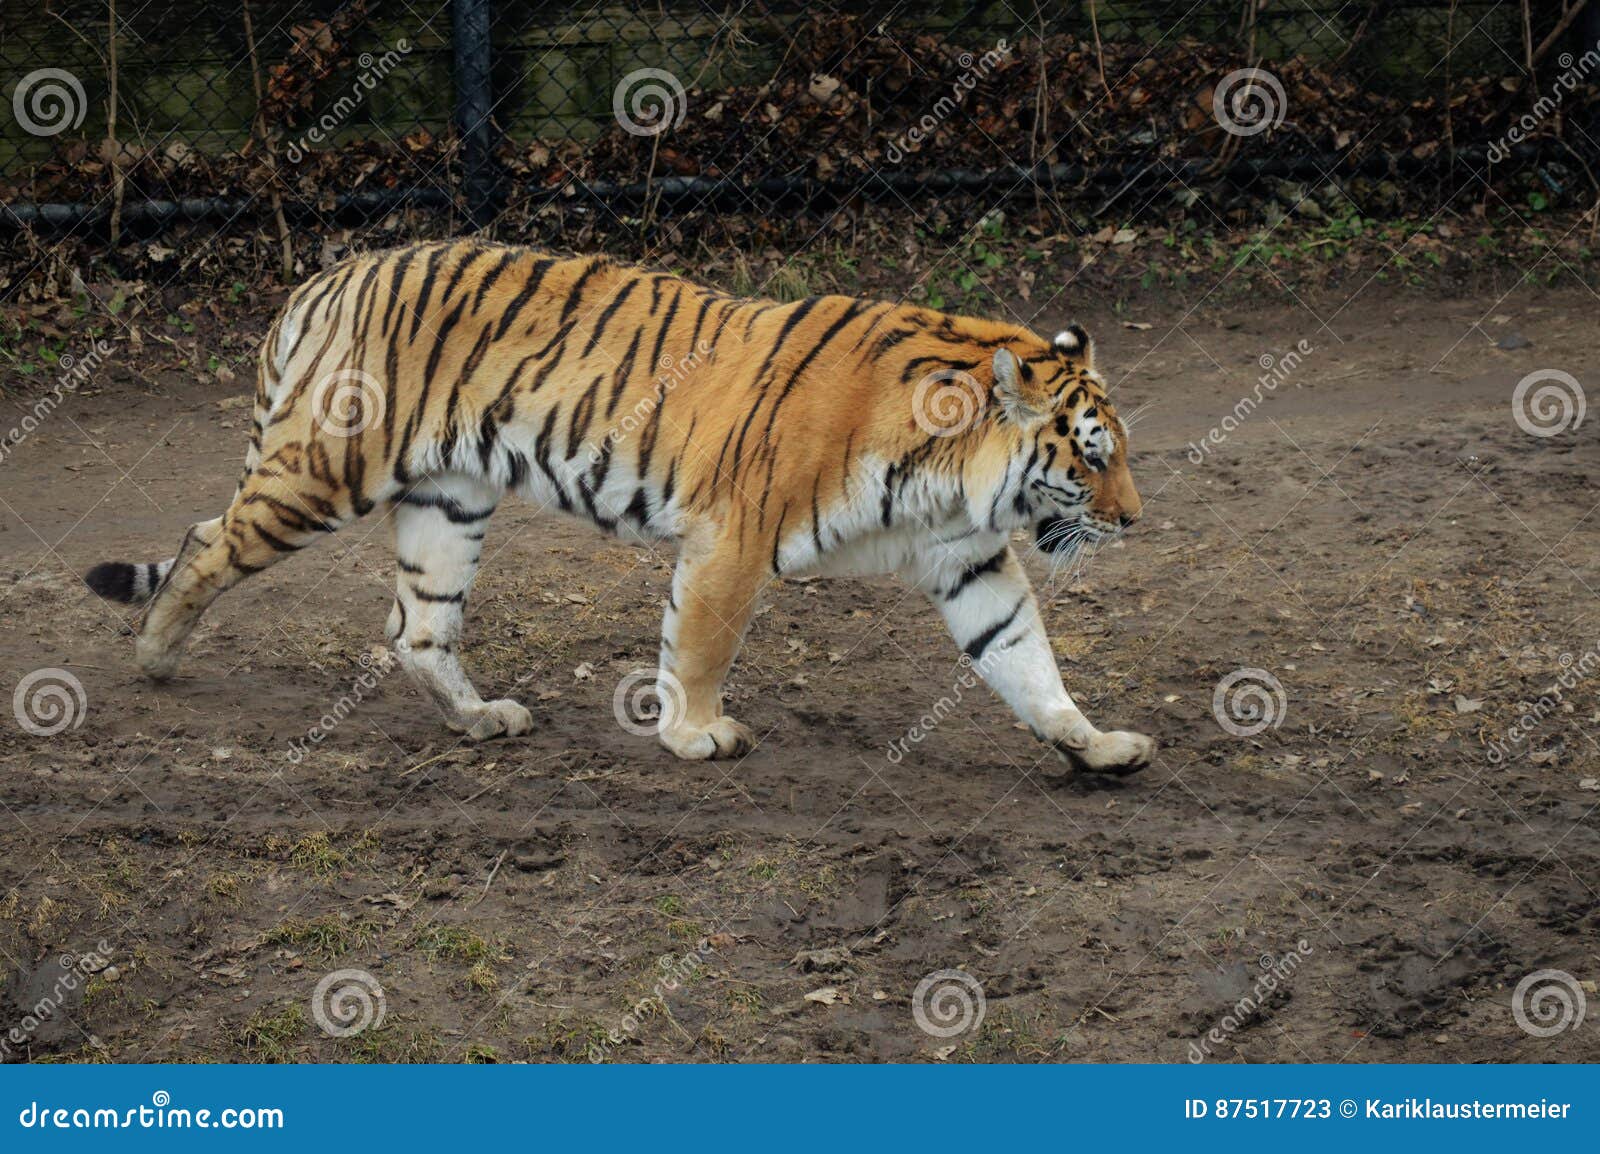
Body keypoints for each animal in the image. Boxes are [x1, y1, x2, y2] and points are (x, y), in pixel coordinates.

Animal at [85, 239, 1154, 773]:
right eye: (1092, 457)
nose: (1135, 519)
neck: (946, 467)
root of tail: (323, 279)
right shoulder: (735, 535)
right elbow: (701, 646)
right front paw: (695, 736)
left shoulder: (967, 556)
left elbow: (1024, 657)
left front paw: (1096, 745)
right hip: (325, 471)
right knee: (206, 539)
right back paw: (156, 653)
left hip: (448, 501)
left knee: (416, 628)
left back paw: (480, 720)